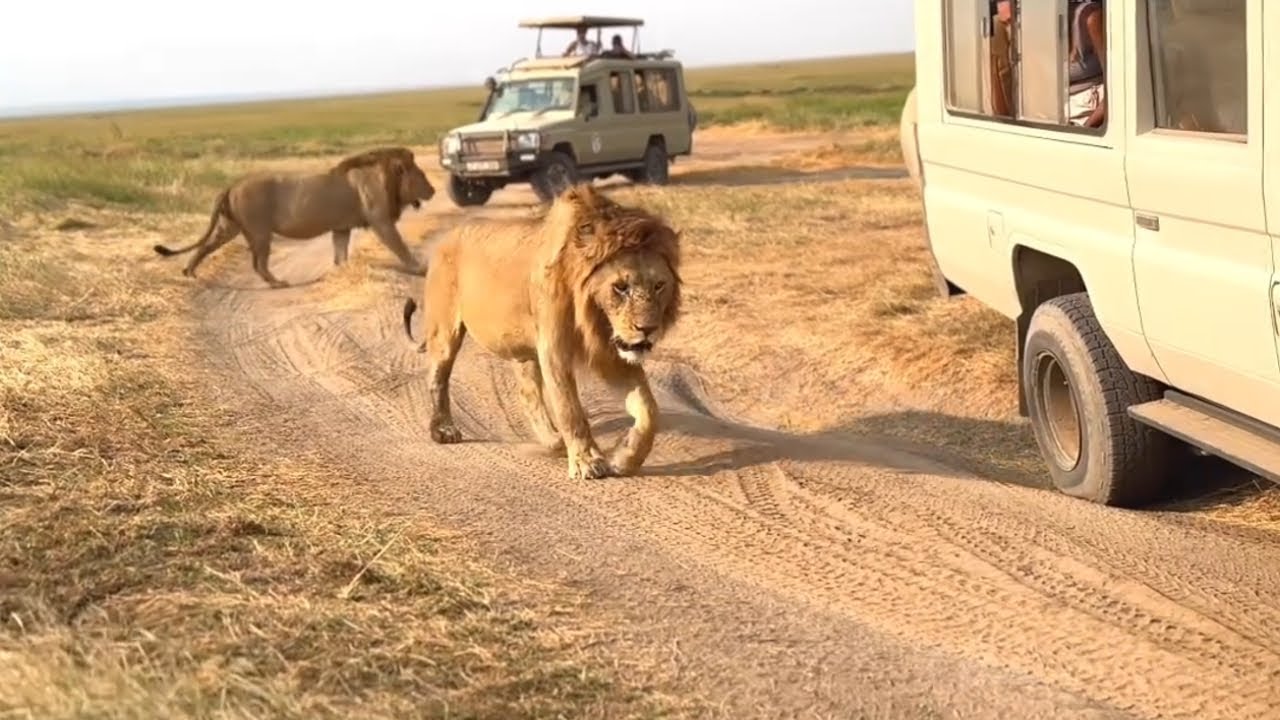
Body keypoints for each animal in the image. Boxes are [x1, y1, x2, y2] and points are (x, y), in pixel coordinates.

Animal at [153, 146, 435, 288]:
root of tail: (233, 184)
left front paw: (340, 272)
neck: (386, 177)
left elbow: (340, 253)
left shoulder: (341, 228)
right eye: (421, 175)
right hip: (260, 232)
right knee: (258, 263)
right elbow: (400, 247)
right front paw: (420, 268)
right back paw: (278, 283)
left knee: (206, 247)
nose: (432, 190)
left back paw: (189, 272)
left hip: (229, 226)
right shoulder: (381, 221)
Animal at [401, 183, 683, 480]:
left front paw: (624, 458)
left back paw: (553, 441)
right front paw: (587, 461)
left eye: (659, 286)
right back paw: (443, 429)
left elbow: (649, 409)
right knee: (437, 377)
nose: (648, 329)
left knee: (527, 393)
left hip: (522, 349)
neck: (594, 318)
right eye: (620, 287)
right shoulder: (554, 350)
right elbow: (570, 409)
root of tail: (447, 237)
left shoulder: (612, 353)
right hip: (445, 331)